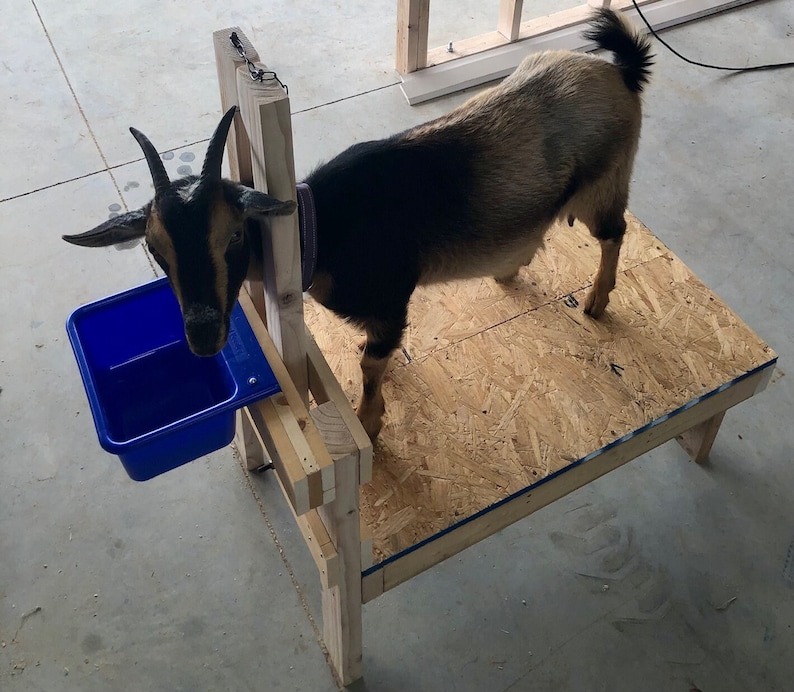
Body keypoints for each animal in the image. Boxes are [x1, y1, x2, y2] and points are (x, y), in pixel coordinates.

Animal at [63, 9, 653, 441]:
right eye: (156, 248)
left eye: (232, 234)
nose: (204, 336)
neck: (321, 227)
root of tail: (619, 72)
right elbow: (376, 357)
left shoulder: (393, 298)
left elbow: (371, 364)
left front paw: (370, 422)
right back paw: (510, 269)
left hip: (605, 182)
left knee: (614, 233)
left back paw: (597, 300)